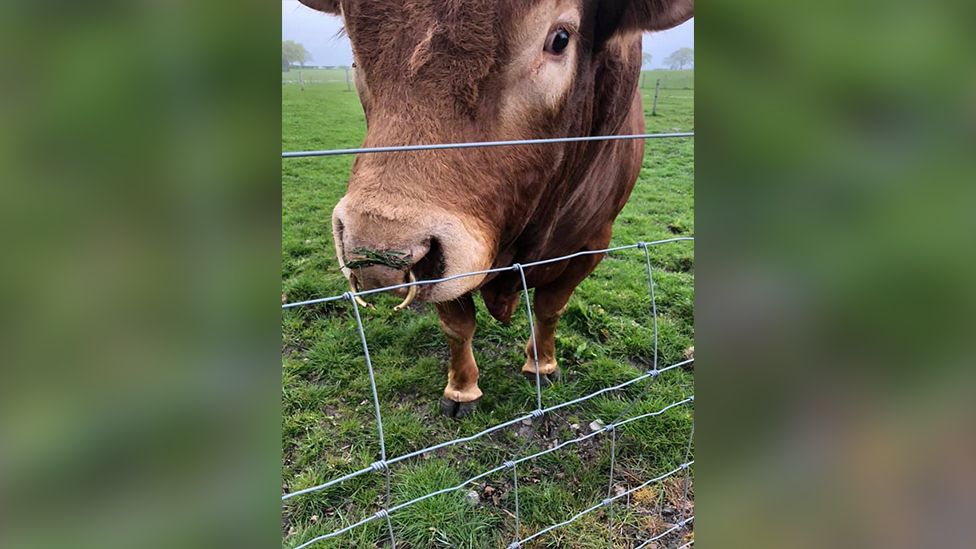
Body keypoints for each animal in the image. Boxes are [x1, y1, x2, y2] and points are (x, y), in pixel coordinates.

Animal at [298, 0, 693, 417]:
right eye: (356, 48)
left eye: (561, 39)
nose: (378, 254)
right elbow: (457, 325)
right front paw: (461, 389)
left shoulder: (592, 244)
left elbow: (550, 308)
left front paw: (541, 365)